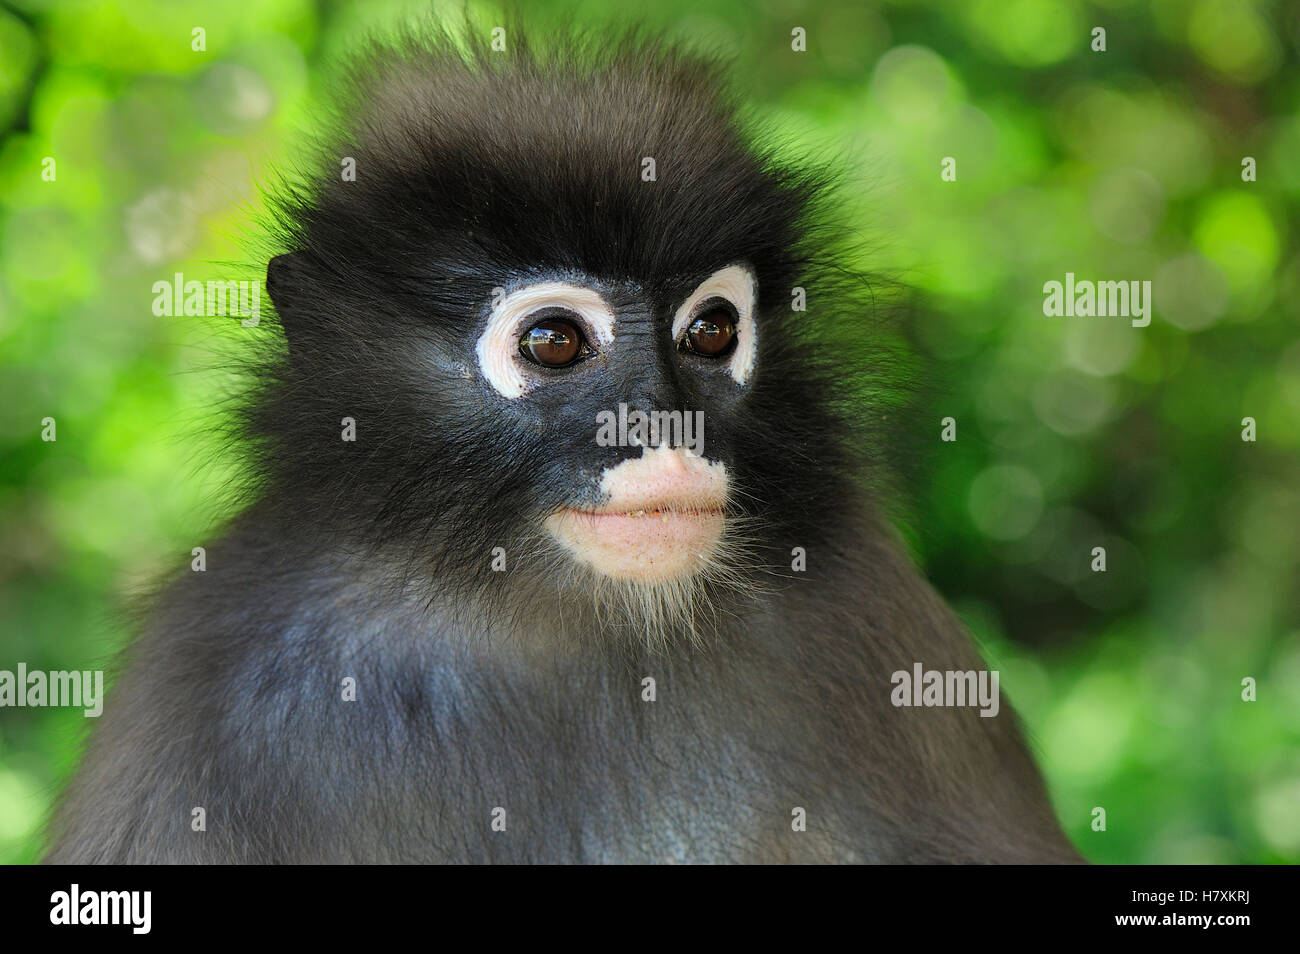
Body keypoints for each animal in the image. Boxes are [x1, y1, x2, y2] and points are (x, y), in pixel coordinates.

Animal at [45, 25, 1082, 864]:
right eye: (553, 341)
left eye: (712, 329)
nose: (665, 428)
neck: (556, 618)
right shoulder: (206, 679)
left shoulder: (876, 613)